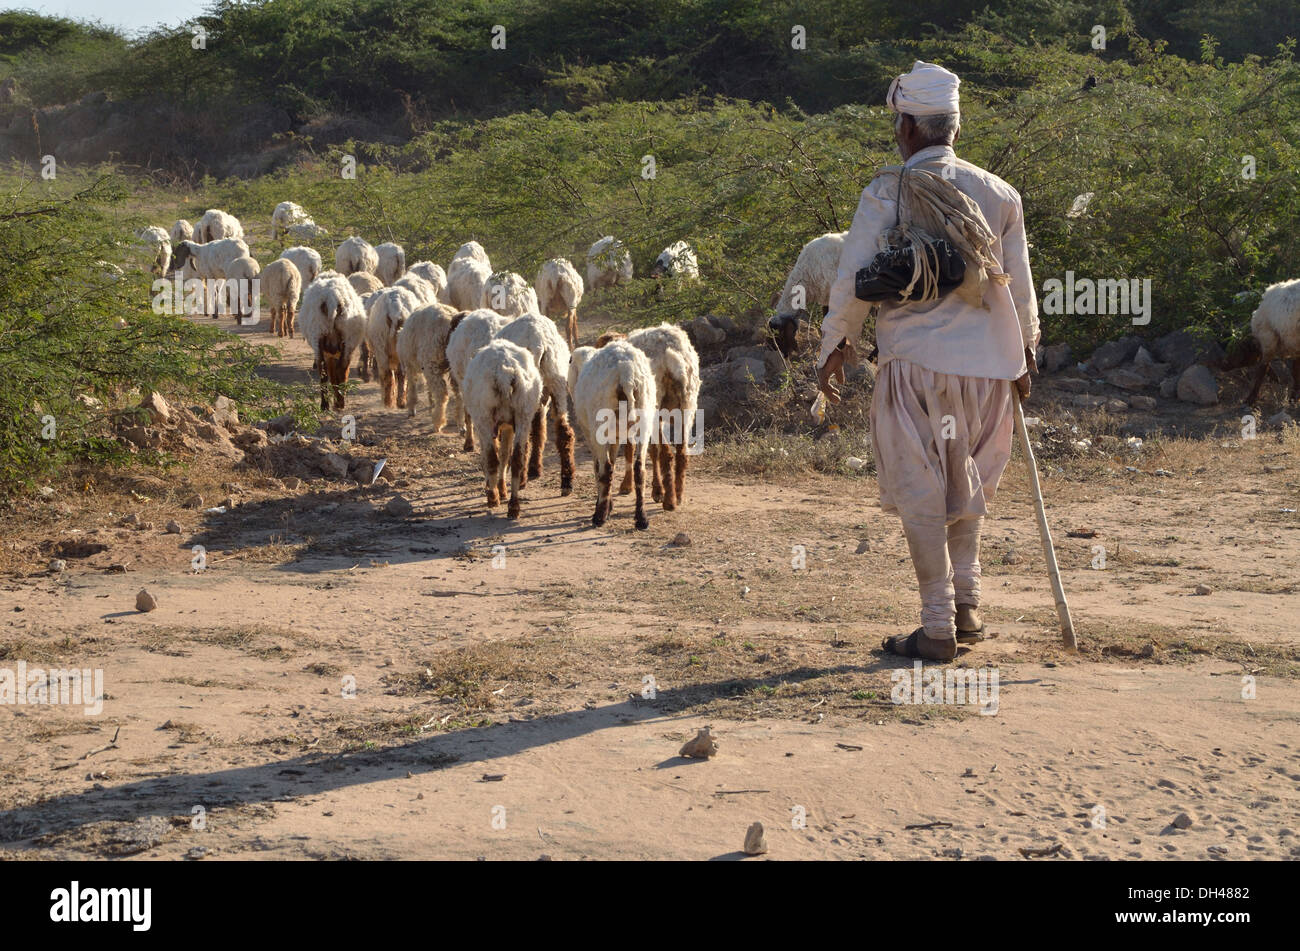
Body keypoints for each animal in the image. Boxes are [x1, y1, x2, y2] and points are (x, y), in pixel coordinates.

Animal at [299, 272, 368, 410]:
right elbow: (337, 374)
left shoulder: (329, 354)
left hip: (318, 335)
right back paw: (339, 402)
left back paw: (327, 404)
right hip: (345, 339)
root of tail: (332, 298)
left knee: (324, 372)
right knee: (340, 370)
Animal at [462, 339, 544, 519]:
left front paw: (495, 489)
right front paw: (502, 488)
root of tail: (503, 371)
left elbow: (490, 456)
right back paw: (513, 506)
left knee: (491, 457)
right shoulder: (508, 426)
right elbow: (505, 454)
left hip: (484, 415)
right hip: (523, 413)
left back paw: (492, 497)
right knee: (517, 459)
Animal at [495, 312, 576, 494]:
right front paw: (535, 468)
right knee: (564, 431)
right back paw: (567, 481)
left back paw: (521, 479)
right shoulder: (542, 400)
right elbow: (539, 429)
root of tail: (539, 342)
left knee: (523, 439)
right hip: (557, 382)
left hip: (528, 393)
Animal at [573, 340, 657, 530]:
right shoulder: (615, 436)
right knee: (640, 469)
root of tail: (626, 372)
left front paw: (604, 506)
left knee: (606, 469)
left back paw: (599, 517)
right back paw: (641, 519)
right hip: (645, 417)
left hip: (600, 421)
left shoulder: (591, 434)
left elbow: (598, 467)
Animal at [595, 324, 700, 510]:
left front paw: (630, 486)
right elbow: (650, 450)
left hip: (654, 405)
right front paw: (656, 490)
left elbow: (634, 448)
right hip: (687, 404)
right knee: (681, 451)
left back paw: (669, 501)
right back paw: (678, 495)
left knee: (667, 453)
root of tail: (672, 355)